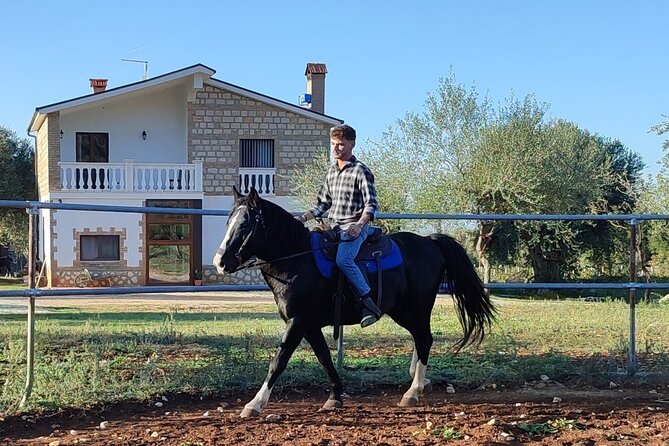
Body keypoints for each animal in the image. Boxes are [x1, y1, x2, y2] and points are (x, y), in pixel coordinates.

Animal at [213, 187, 496, 418]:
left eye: (245, 225)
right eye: (228, 222)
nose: (220, 262)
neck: (297, 261)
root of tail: (430, 241)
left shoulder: (297, 321)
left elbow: (278, 361)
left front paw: (255, 404)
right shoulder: (310, 326)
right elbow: (325, 358)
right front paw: (335, 396)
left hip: (416, 307)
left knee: (424, 339)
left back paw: (413, 391)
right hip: (402, 311)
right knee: (420, 338)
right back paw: (419, 381)